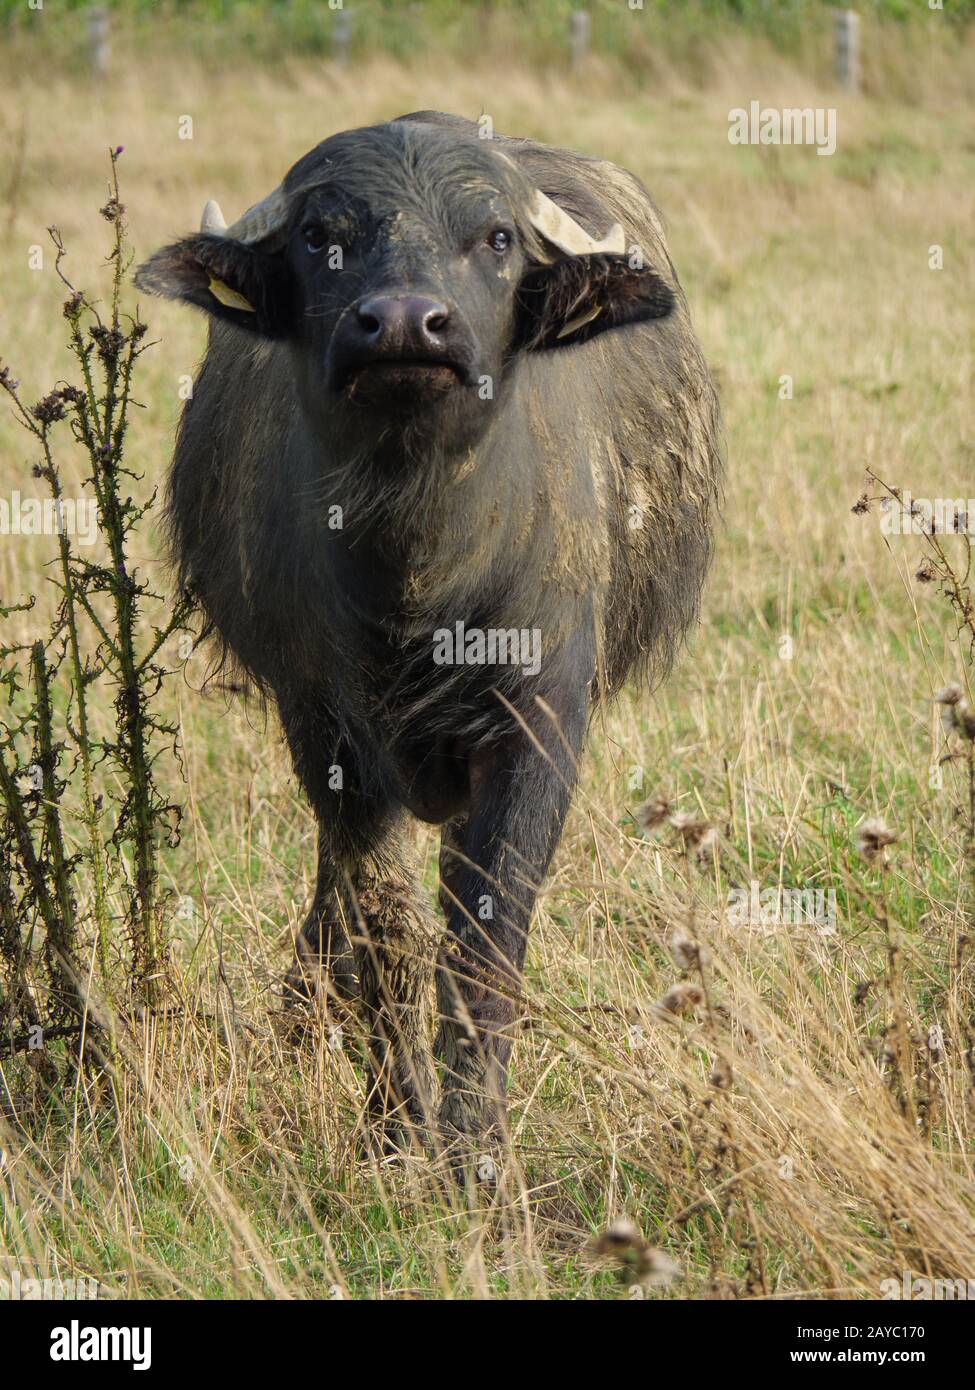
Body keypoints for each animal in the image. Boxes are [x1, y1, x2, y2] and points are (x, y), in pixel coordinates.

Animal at [136, 111, 722, 1166]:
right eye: (321, 234)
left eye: (494, 237)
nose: (406, 324)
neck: (419, 579)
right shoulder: (322, 724)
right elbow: (386, 927)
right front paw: (395, 1126)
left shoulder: (540, 717)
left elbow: (485, 932)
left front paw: (472, 1148)